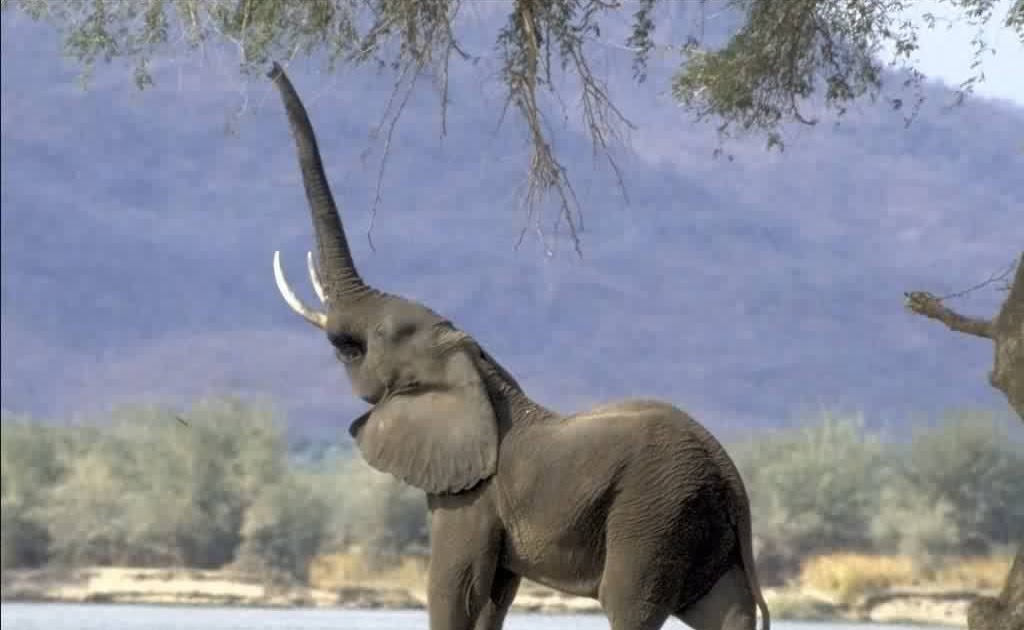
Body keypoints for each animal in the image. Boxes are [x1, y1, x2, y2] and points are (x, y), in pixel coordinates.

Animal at [264, 62, 770, 630]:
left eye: (370, 342)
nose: (273, 67)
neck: (474, 368)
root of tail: (731, 478)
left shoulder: (472, 493)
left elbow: (455, 590)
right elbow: (492, 598)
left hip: (655, 513)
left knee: (630, 602)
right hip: (698, 524)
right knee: (727, 611)